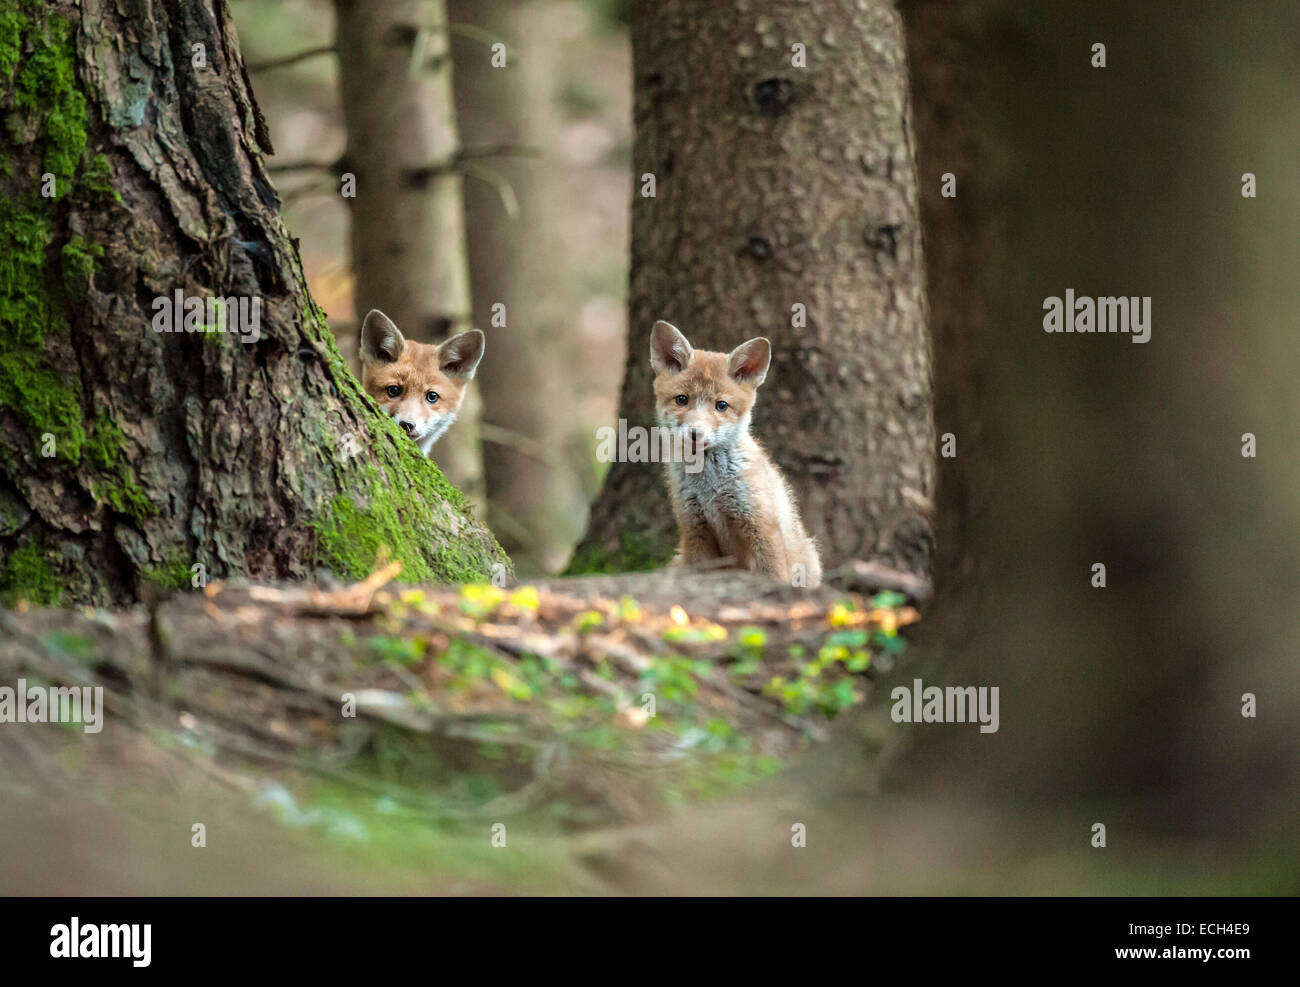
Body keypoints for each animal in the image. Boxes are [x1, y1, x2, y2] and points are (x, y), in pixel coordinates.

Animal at [650, 319, 822, 588]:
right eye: (682, 400)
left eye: (721, 405)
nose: (696, 433)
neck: (710, 487)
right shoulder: (695, 530)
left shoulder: (760, 526)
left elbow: (774, 575)